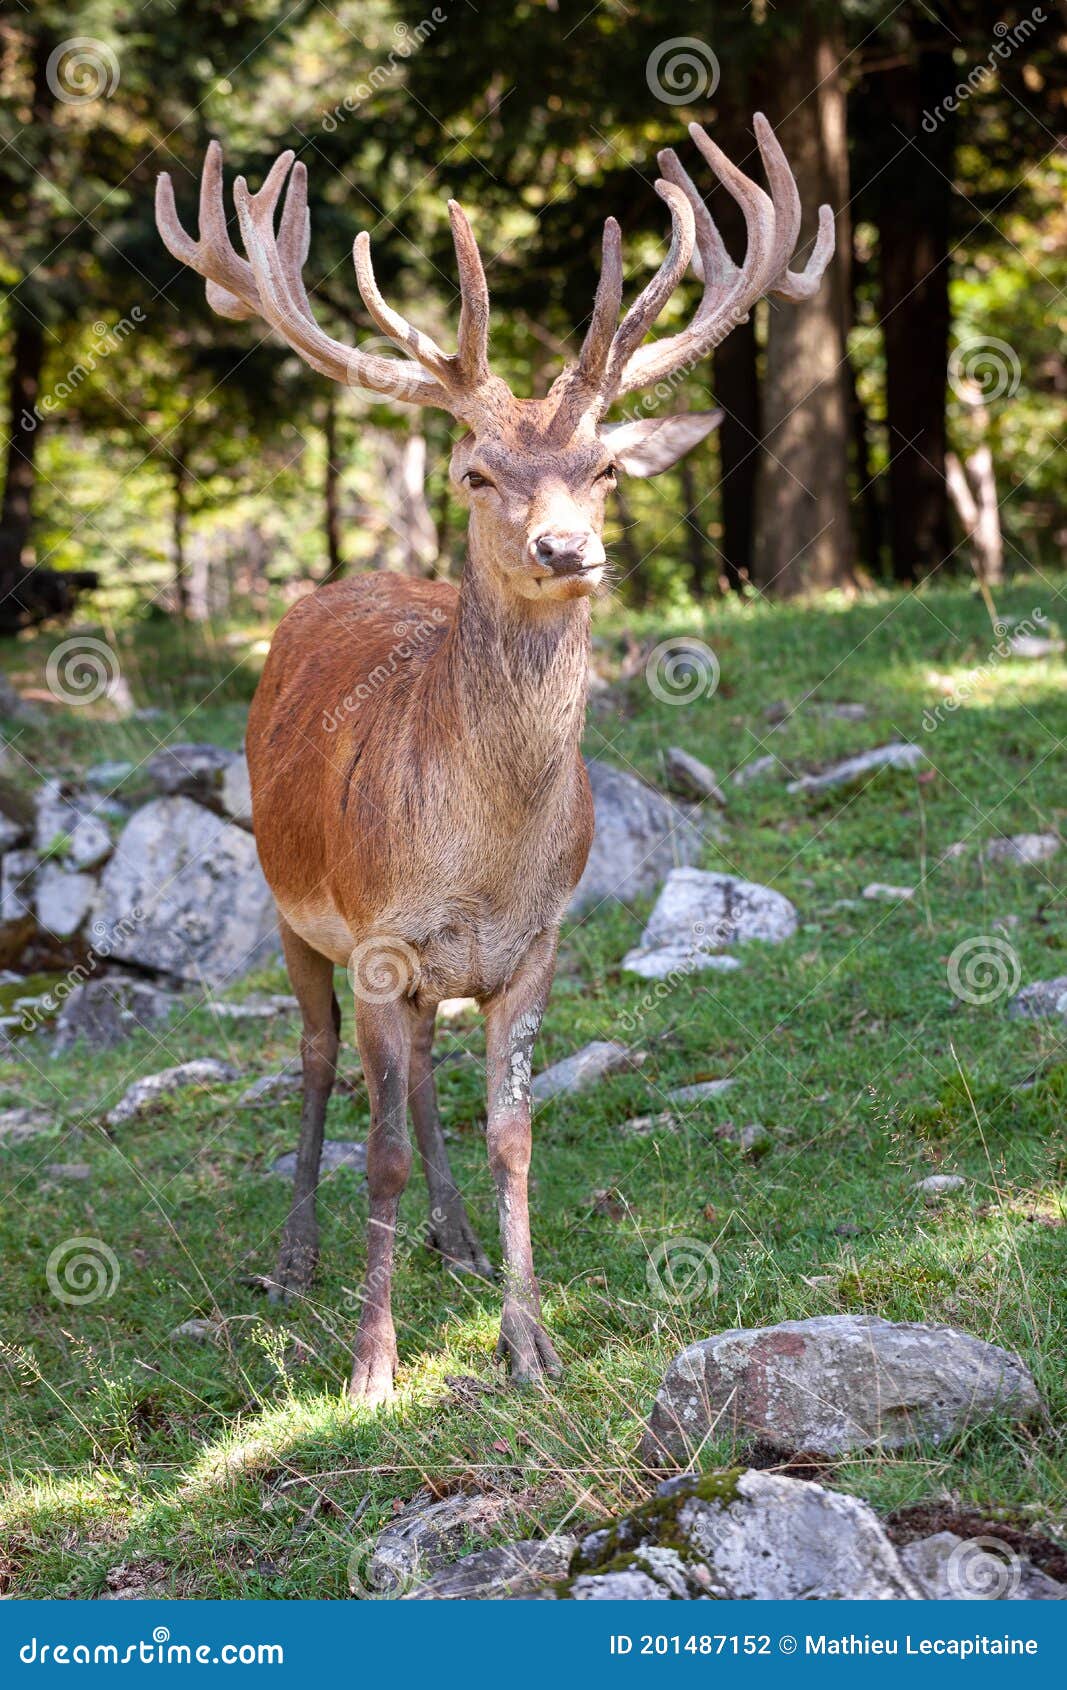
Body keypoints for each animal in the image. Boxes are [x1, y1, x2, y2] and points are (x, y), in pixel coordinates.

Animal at [156, 115, 833, 1404]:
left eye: (605, 468)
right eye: (475, 469)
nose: (564, 547)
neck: (483, 857)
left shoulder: (537, 941)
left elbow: (511, 1133)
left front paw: (531, 1343)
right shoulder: (376, 933)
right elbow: (371, 1143)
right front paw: (371, 1369)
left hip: (427, 972)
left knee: (420, 1067)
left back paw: (457, 1240)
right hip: (286, 902)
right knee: (317, 1058)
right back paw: (295, 1258)